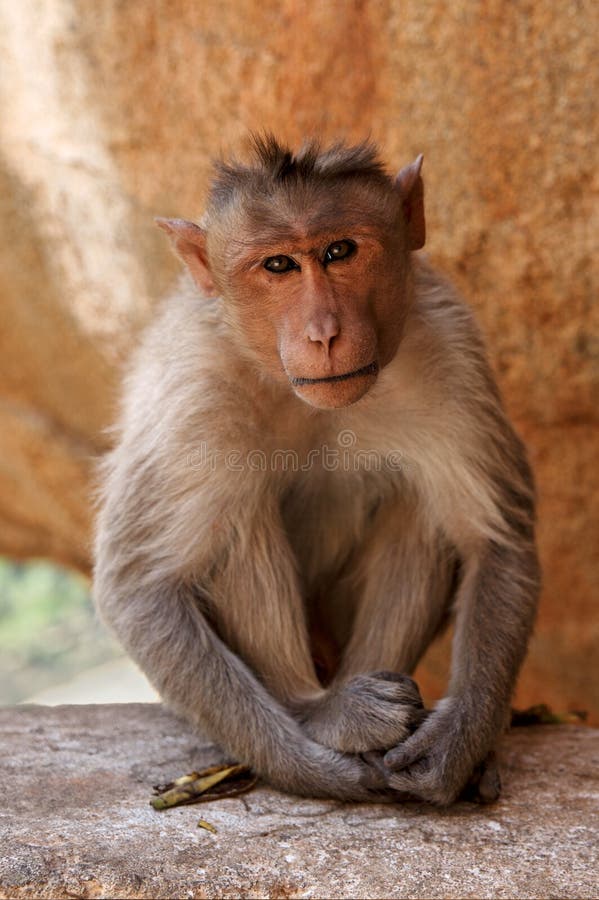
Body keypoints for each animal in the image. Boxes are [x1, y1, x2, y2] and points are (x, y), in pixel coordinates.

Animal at [94, 136, 540, 805]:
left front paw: (455, 745)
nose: (323, 333)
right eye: (279, 266)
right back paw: (323, 711)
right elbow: (140, 584)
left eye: (340, 252)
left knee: (422, 511)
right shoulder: (193, 389)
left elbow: (496, 541)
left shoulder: (448, 345)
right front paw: (311, 766)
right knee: (235, 515)